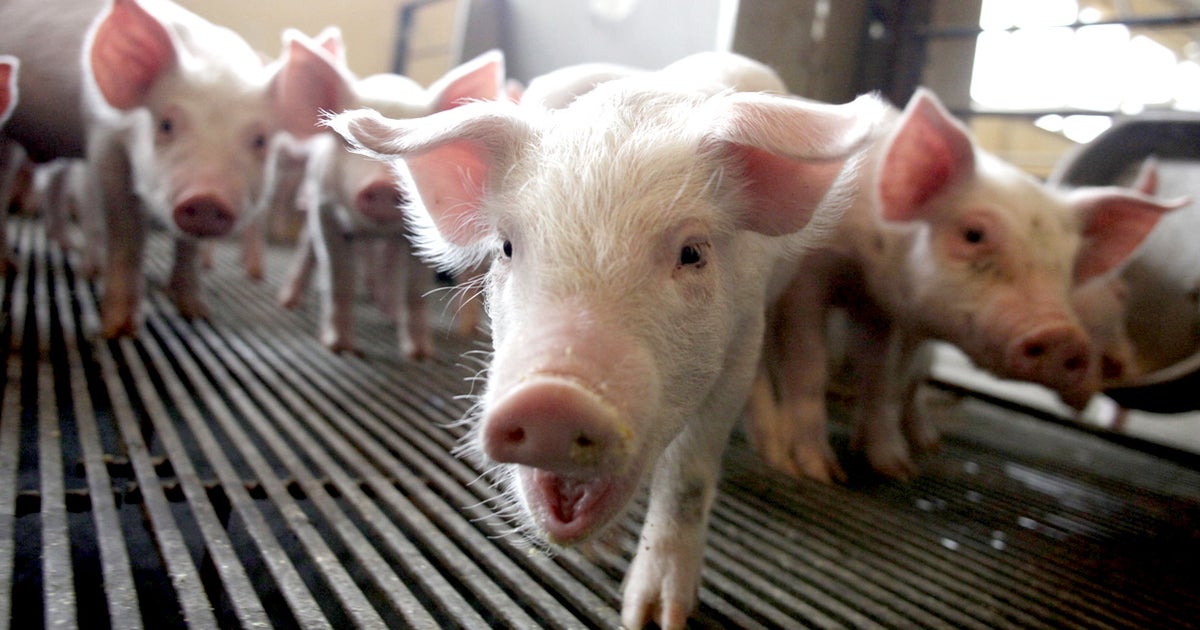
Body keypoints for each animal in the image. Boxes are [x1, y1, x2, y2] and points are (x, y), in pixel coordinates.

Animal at [81, 0, 354, 337]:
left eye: (260, 140)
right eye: (166, 125)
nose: (207, 199)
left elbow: (189, 248)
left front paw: (196, 313)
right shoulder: (106, 141)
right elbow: (126, 233)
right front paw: (119, 330)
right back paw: (90, 270)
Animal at [276, 49, 505, 358]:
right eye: (346, 141)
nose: (383, 186)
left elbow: (413, 290)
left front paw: (418, 353)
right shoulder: (326, 208)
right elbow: (339, 279)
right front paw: (339, 347)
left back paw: (389, 312)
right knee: (307, 250)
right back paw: (288, 301)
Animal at [328, 53, 887, 628]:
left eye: (692, 253)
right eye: (506, 247)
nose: (552, 399)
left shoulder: (739, 340)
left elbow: (688, 474)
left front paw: (654, 617)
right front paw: (601, 555)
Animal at [747, 88, 1182, 483]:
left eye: (1069, 265)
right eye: (973, 235)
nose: (1064, 336)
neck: (864, 259)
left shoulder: (882, 308)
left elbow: (881, 376)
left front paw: (898, 470)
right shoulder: (809, 277)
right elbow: (809, 366)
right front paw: (821, 475)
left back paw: (928, 443)